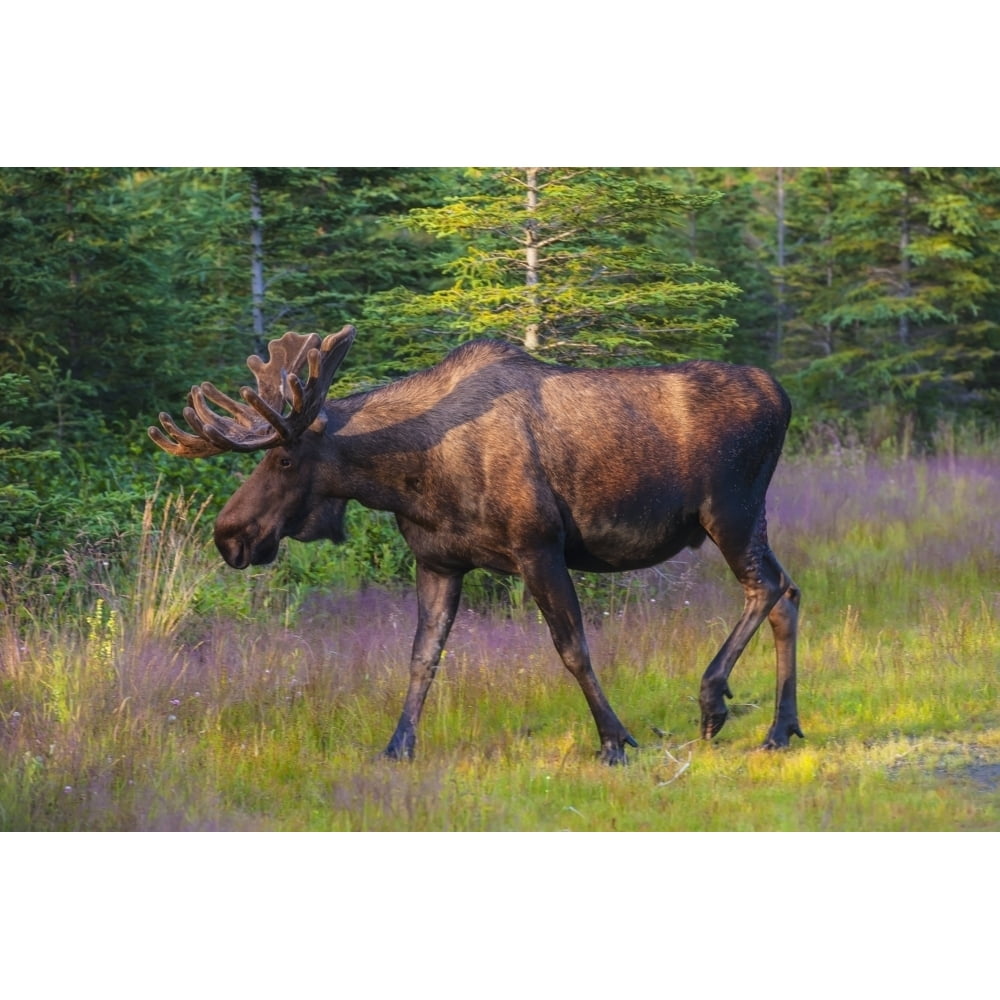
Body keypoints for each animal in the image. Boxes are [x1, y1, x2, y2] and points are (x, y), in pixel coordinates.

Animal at [149, 325, 803, 764]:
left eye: (283, 459)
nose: (229, 536)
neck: (410, 477)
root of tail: (784, 395)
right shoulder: (439, 562)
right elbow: (422, 657)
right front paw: (398, 745)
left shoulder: (539, 547)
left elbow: (574, 649)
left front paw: (614, 739)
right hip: (749, 518)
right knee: (788, 593)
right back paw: (780, 730)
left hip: (731, 510)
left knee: (766, 587)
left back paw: (713, 702)